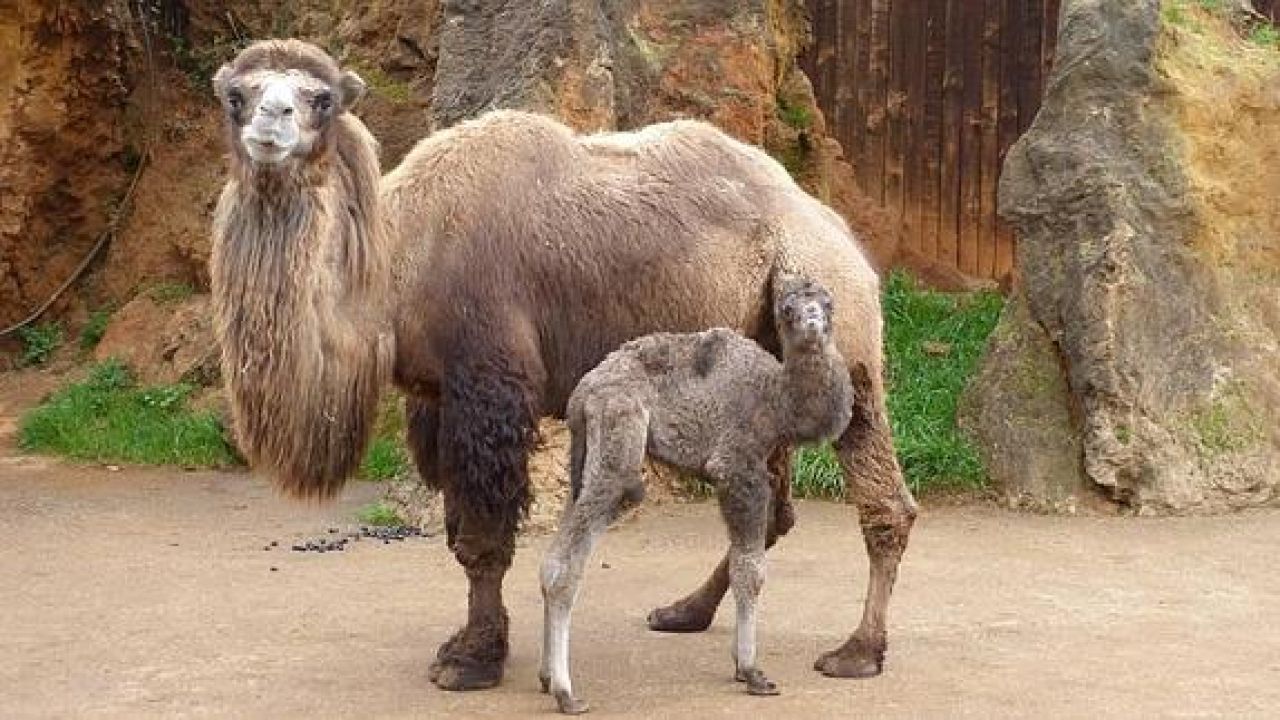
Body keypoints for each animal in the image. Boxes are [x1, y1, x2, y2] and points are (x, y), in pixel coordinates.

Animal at [540, 278, 854, 714]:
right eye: (787, 310)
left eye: (827, 304)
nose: (811, 322)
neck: (779, 399)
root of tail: (582, 394)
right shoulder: (738, 467)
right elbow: (749, 571)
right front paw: (752, 672)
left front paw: (740, 665)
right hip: (620, 425)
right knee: (575, 554)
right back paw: (566, 693)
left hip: (587, 454)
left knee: (555, 551)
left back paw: (545, 677)